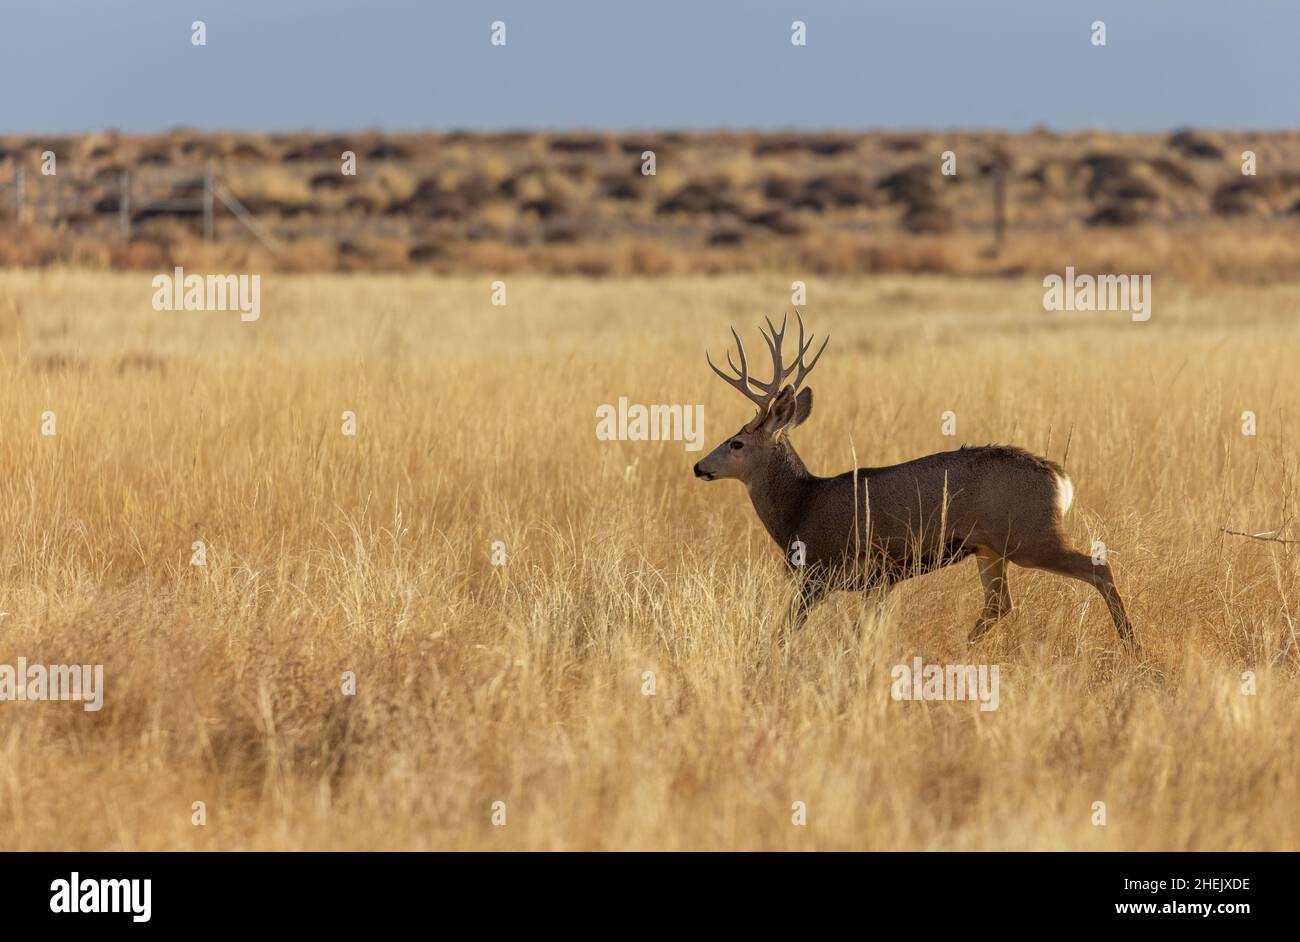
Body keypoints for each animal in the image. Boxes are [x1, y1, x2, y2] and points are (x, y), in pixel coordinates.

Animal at [692, 313, 1137, 648]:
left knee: (1099, 567)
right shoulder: (877, 581)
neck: (801, 506)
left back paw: (1133, 647)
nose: (699, 466)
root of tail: (1061, 479)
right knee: (1000, 604)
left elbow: (785, 632)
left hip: (1031, 536)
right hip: (989, 549)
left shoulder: (821, 571)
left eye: (735, 442)